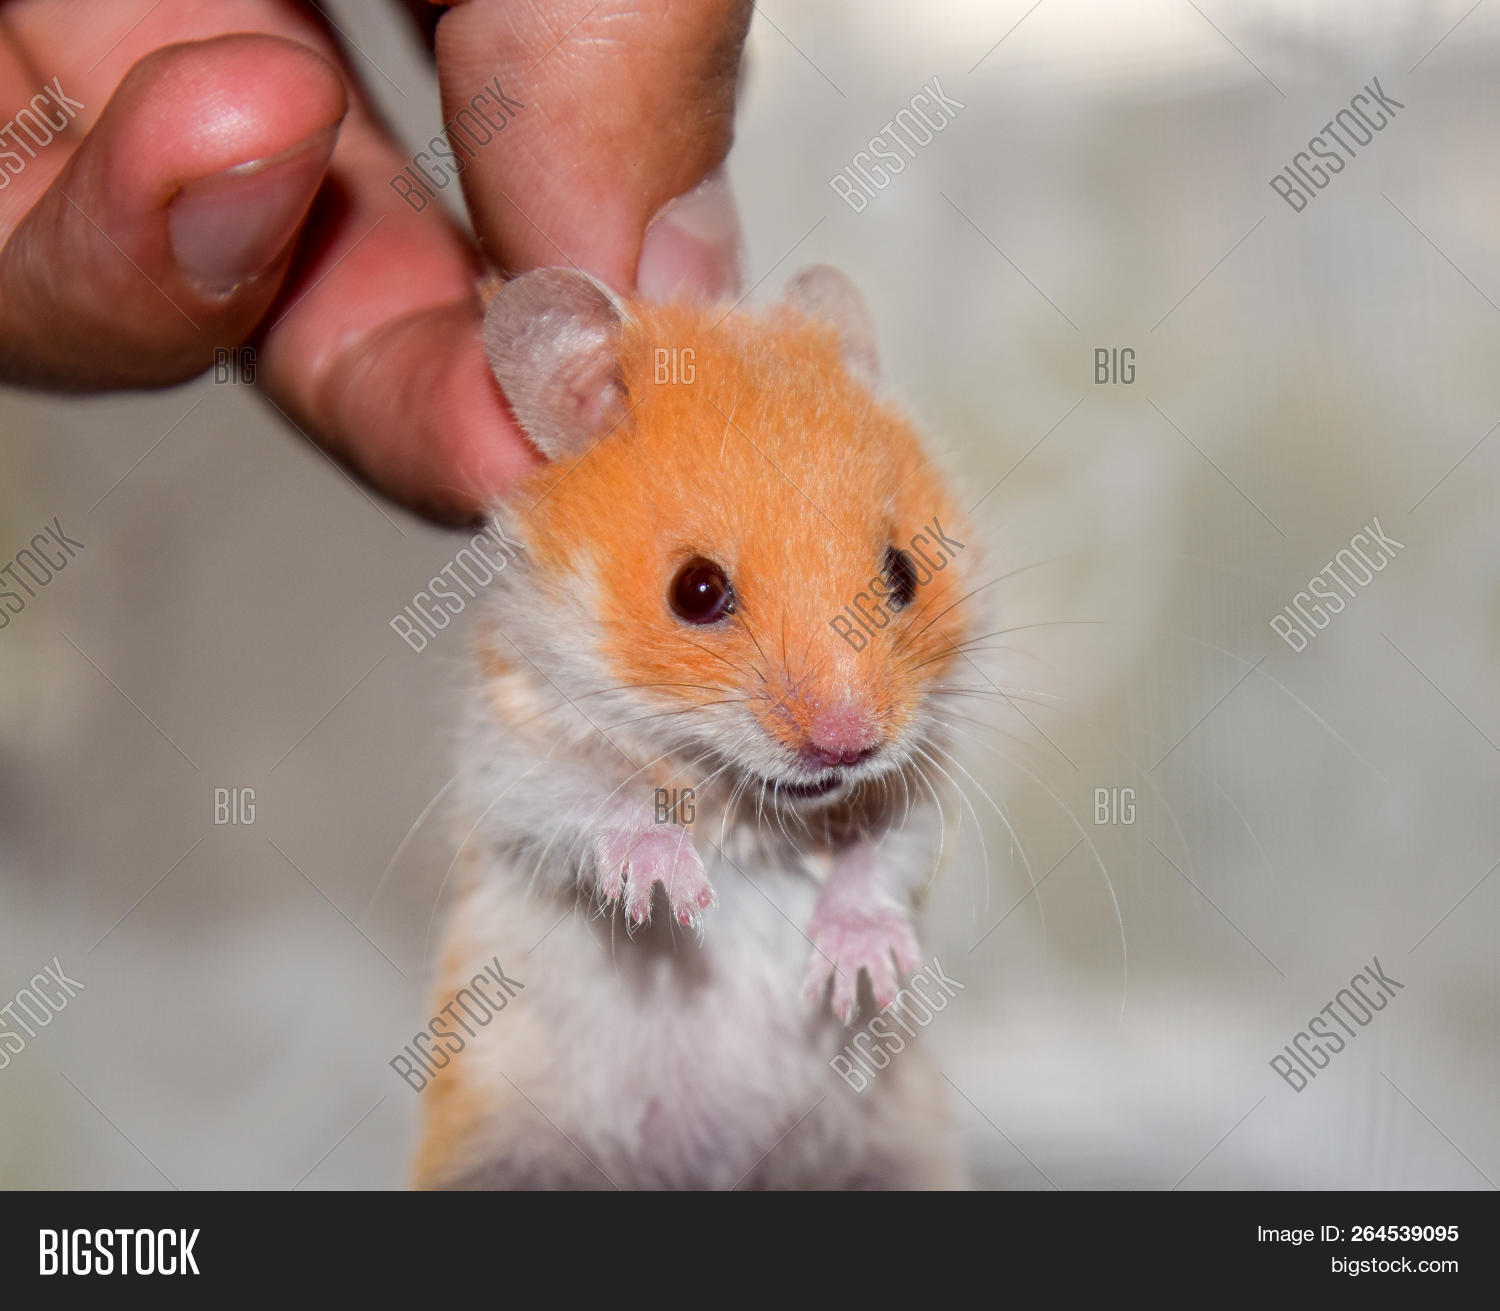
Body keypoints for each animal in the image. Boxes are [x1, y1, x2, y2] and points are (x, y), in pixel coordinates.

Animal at [415, 265, 980, 1190]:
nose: (851, 743)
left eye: (902, 573)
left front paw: (854, 973)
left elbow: (890, 849)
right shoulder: (508, 751)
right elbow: (581, 800)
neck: (735, 791)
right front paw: (671, 890)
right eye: (697, 591)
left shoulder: (916, 780)